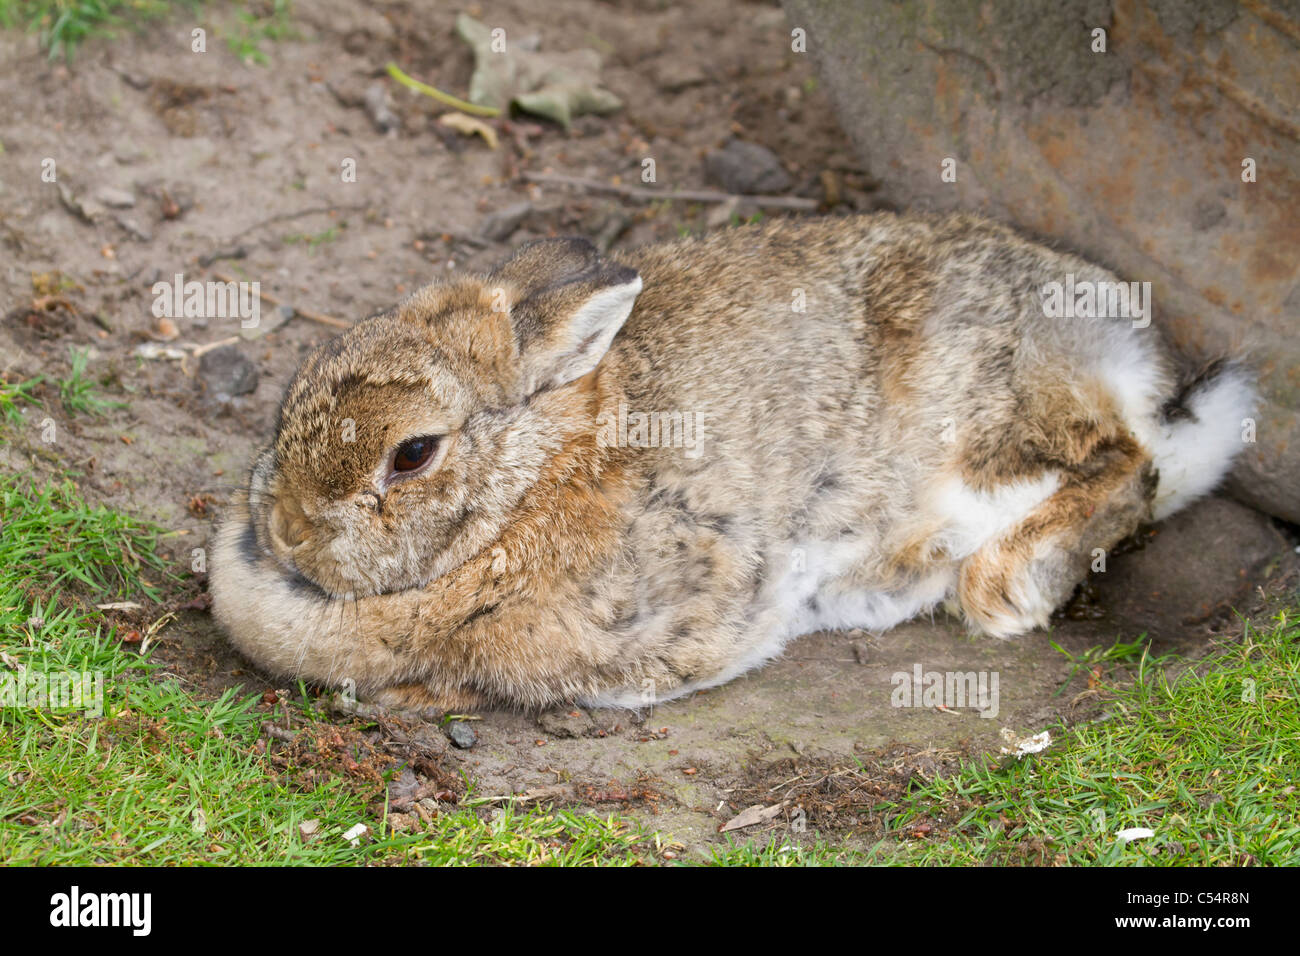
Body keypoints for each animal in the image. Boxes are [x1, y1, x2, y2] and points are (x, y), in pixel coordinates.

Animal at [210, 212, 1256, 712]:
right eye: (300, 386)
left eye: (414, 453)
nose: (288, 532)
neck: (535, 481)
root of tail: (1125, 346)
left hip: (1002, 420)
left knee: (1128, 463)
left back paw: (1007, 586)